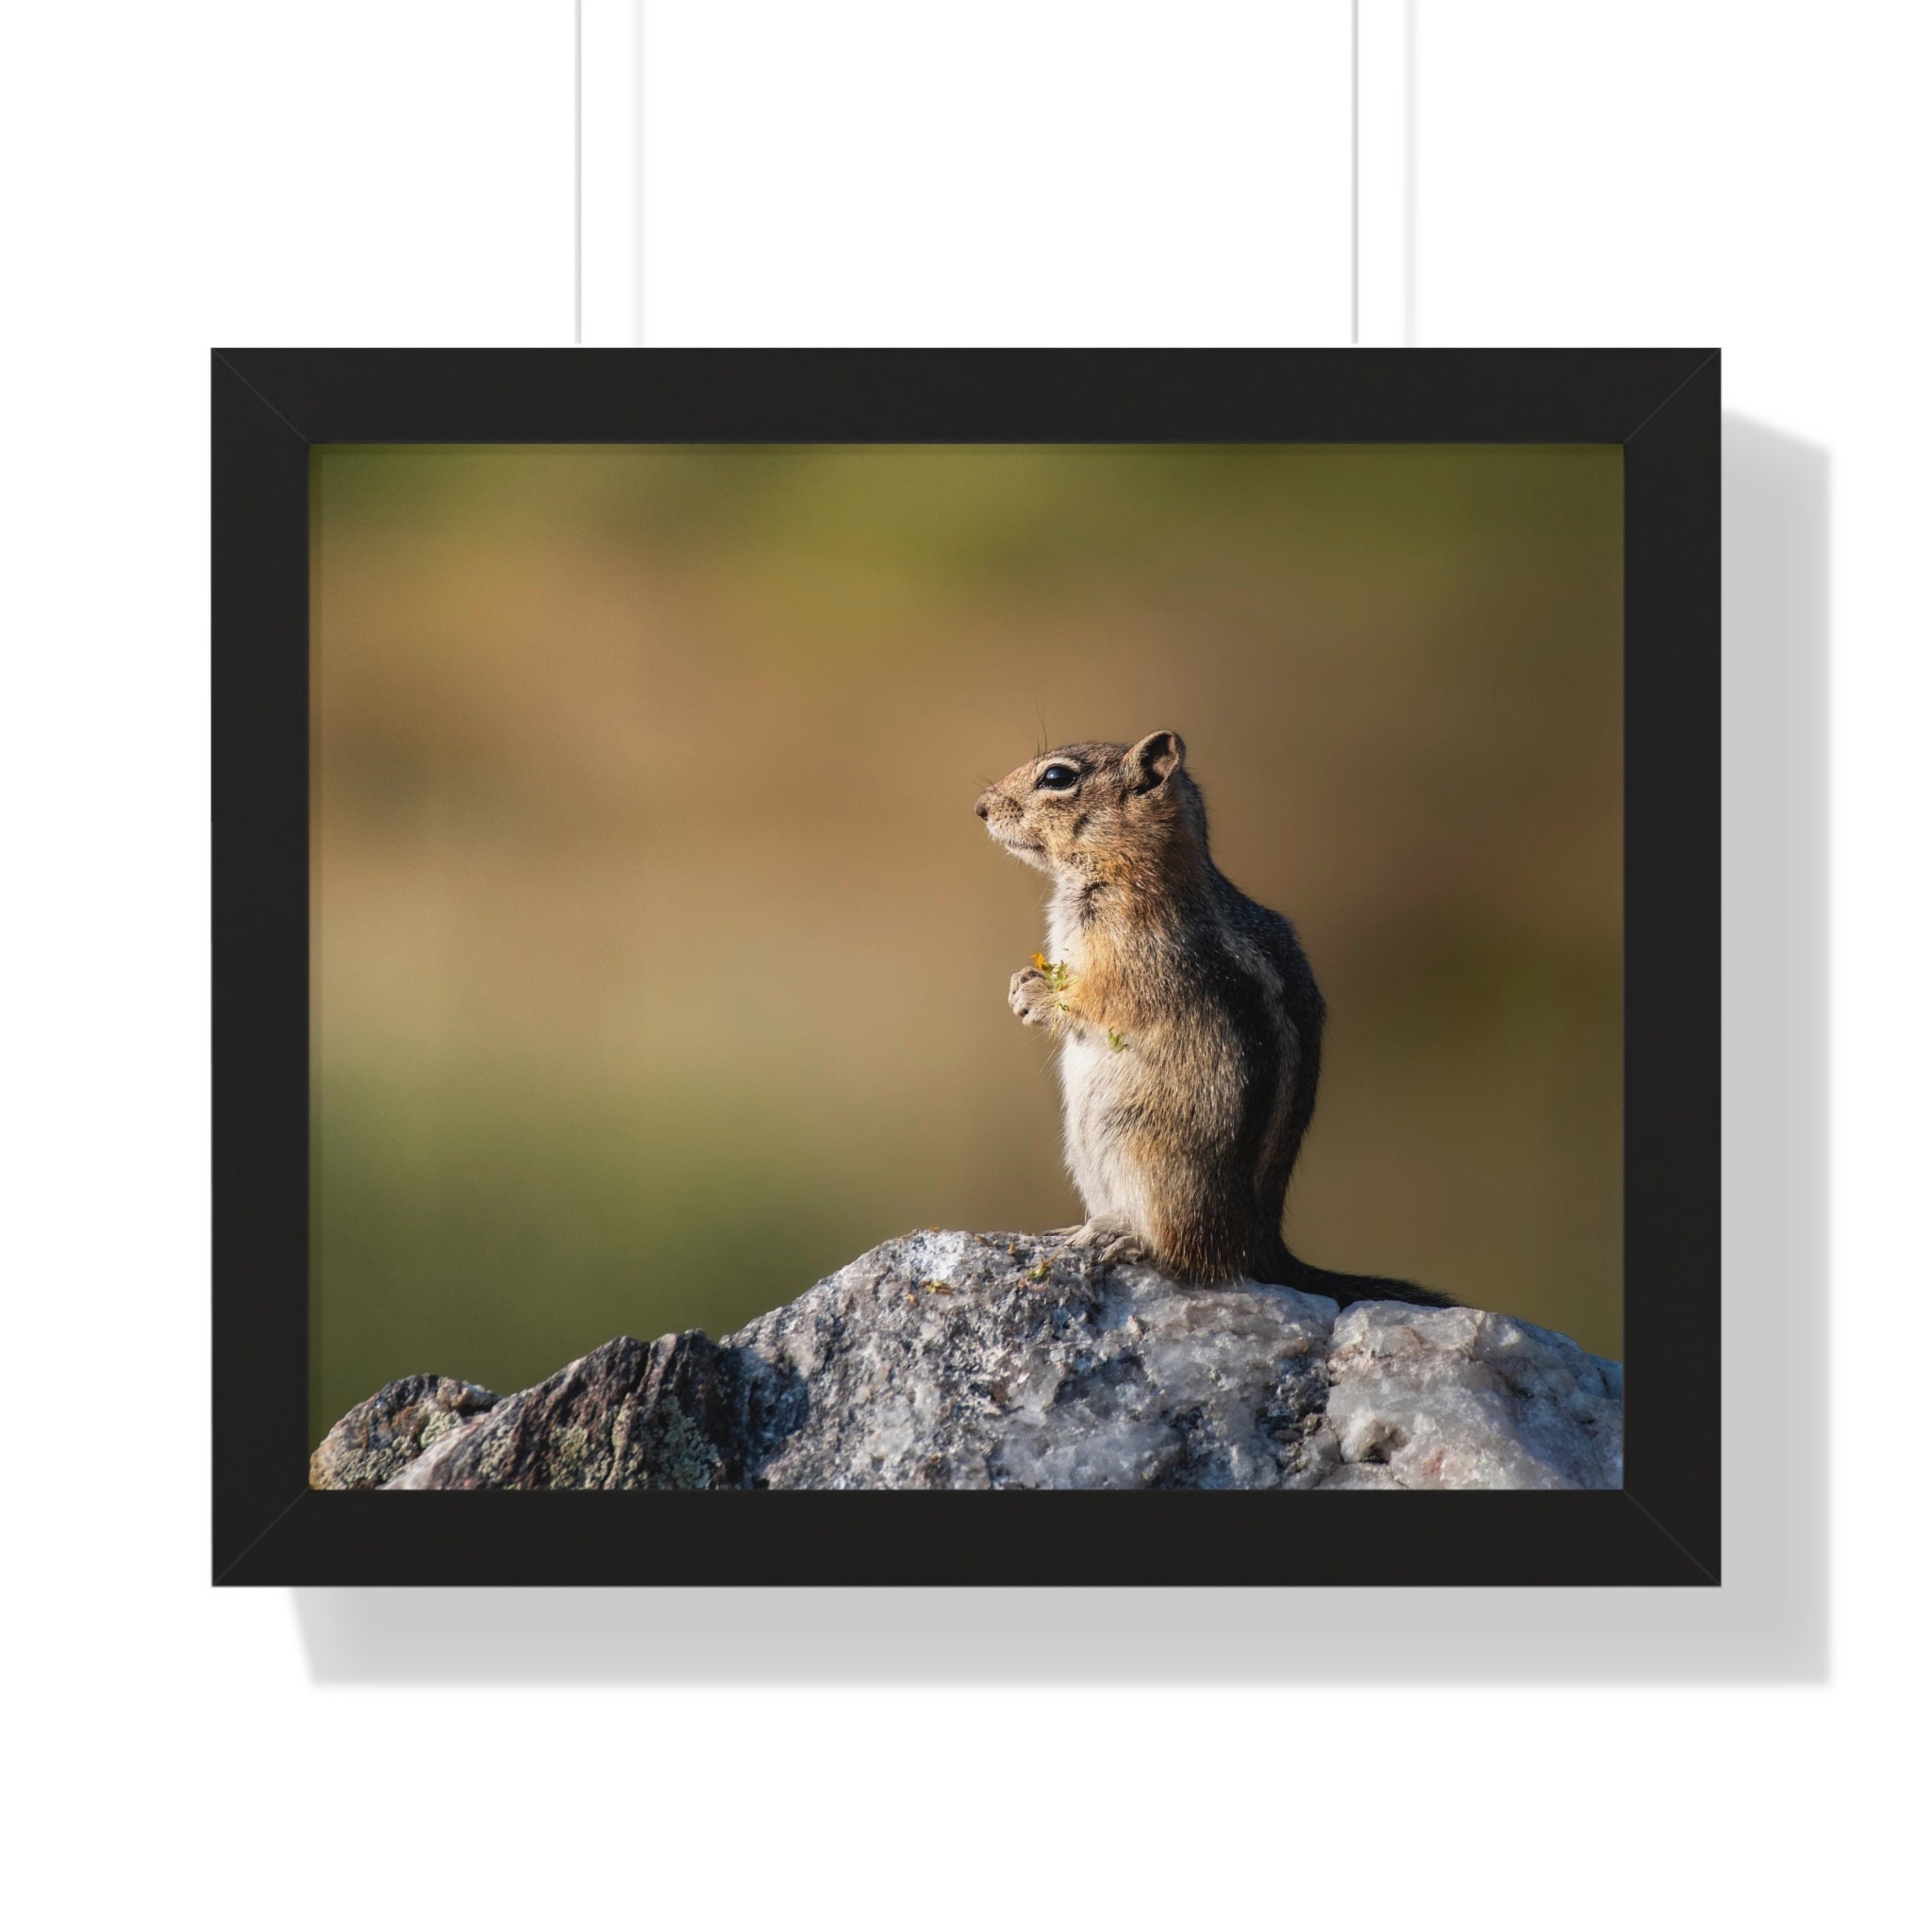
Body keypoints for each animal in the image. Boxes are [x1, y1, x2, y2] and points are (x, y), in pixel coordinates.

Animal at [975, 730, 1452, 1310]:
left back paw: (1123, 1240)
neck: (1131, 868)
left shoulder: (1135, 960)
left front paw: (1035, 998)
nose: (980, 807)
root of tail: (1259, 1241)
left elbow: (1097, 1001)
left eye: (1057, 777)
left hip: (1149, 1158)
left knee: (1189, 1255)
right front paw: (1021, 981)